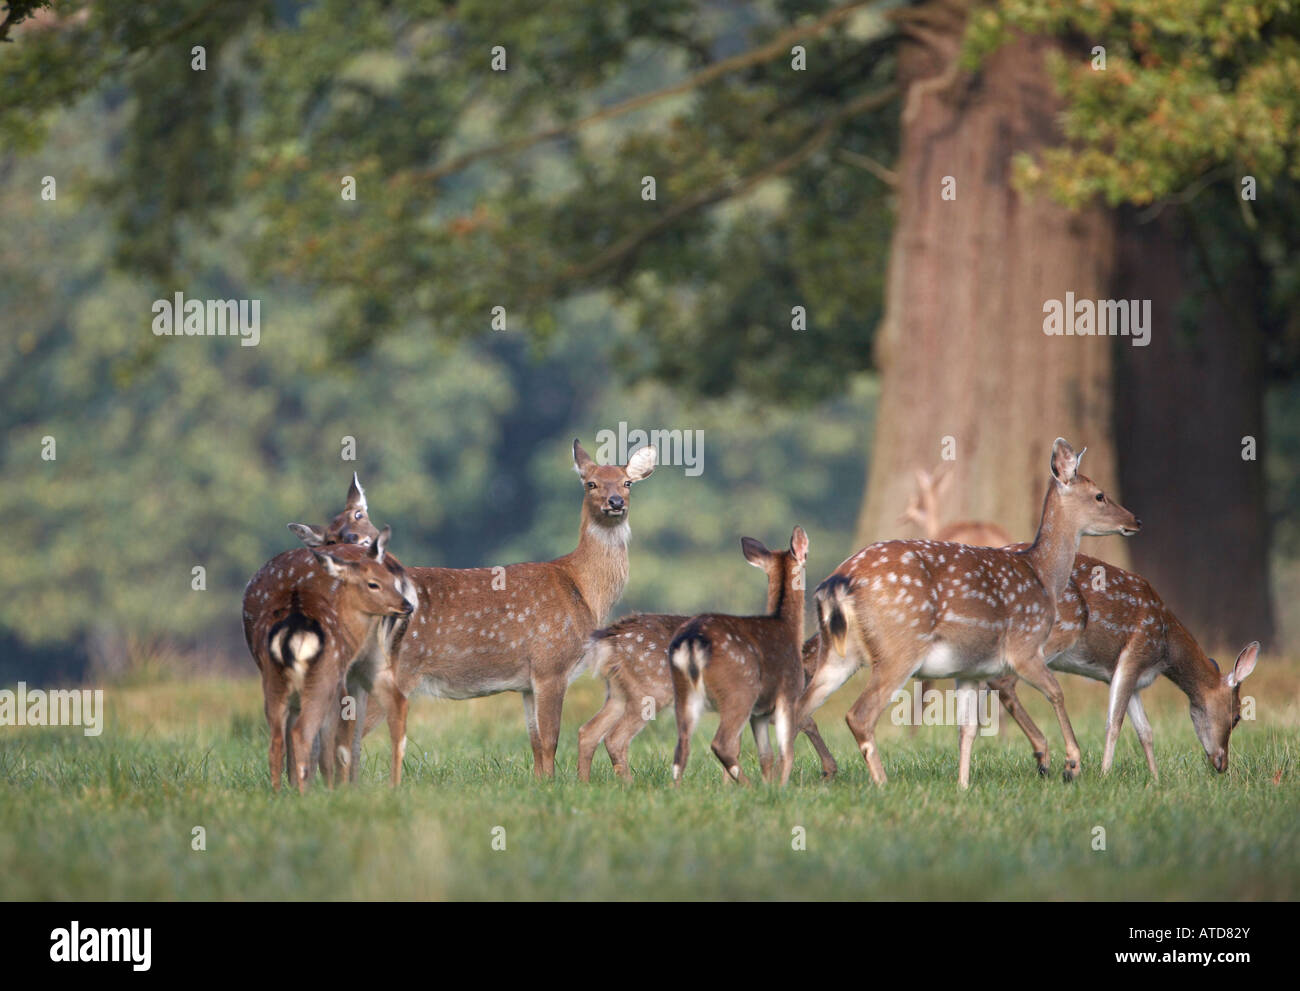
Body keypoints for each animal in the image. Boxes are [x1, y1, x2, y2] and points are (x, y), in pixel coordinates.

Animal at [242, 528, 413, 792]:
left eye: (388, 580)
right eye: (373, 583)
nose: (406, 605)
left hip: (284, 683)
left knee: (283, 739)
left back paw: (287, 792)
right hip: (324, 681)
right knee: (305, 735)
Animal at [348, 439, 657, 784]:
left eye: (627, 483)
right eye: (590, 483)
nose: (615, 502)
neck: (582, 589)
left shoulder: (527, 683)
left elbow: (535, 742)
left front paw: (541, 783)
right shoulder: (551, 664)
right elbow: (551, 739)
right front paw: (552, 784)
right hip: (393, 671)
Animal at [576, 615, 838, 782]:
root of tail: (609, 640)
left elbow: (735, 745)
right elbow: (807, 721)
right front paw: (829, 769)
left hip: (618, 692)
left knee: (588, 730)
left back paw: (585, 784)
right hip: (651, 689)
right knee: (615, 737)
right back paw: (630, 785)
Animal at [669, 526, 810, 787]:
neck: (788, 628)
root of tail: (692, 640)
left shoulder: (760, 712)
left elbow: (766, 755)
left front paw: (769, 785)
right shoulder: (789, 692)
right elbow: (786, 752)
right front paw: (780, 787)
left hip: (682, 691)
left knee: (681, 748)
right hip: (740, 688)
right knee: (722, 743)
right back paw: (748, 786)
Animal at [798, 438, 1141, 788]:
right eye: (1099, 495)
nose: (1135, 520)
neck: (1042, 576)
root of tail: (836, 582)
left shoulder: (970, 670)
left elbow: (968, 728)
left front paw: (963, 785)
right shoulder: (1024, 647)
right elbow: (1056, 693)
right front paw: (1070, 763)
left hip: (840, 654)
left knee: (801, 708)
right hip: (899, 649)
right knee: (859, 715)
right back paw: (881, 782)